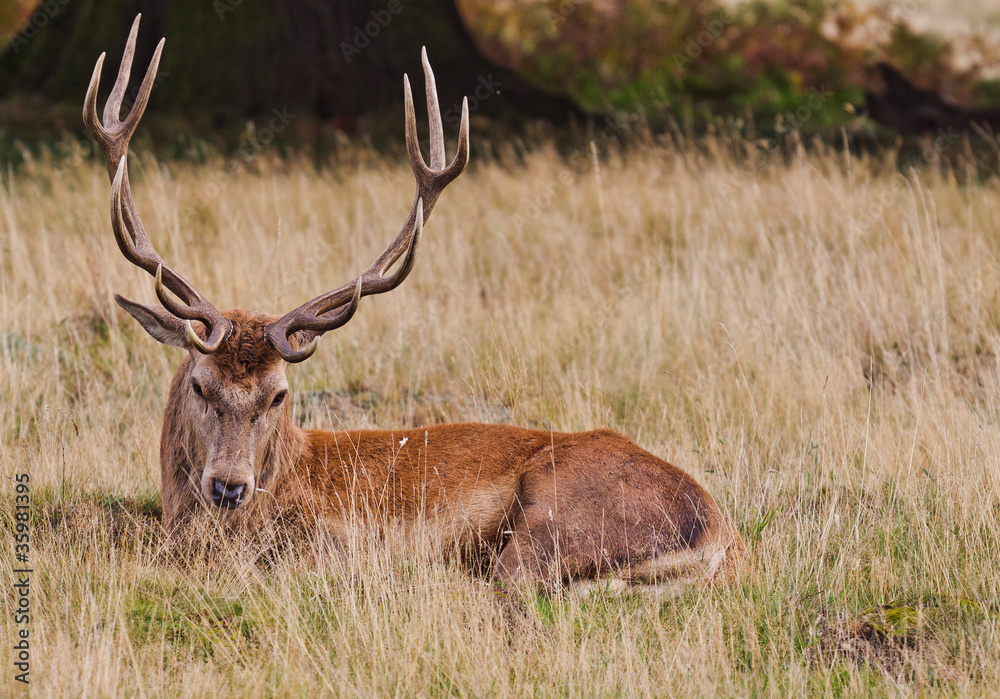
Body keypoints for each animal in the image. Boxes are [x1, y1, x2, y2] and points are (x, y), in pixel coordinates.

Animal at [84, 16, 746, 589]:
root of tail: (721, 535)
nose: (229, 488)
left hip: (546, 528)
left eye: (279, 395)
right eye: (200, 385)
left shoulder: (340, 546)